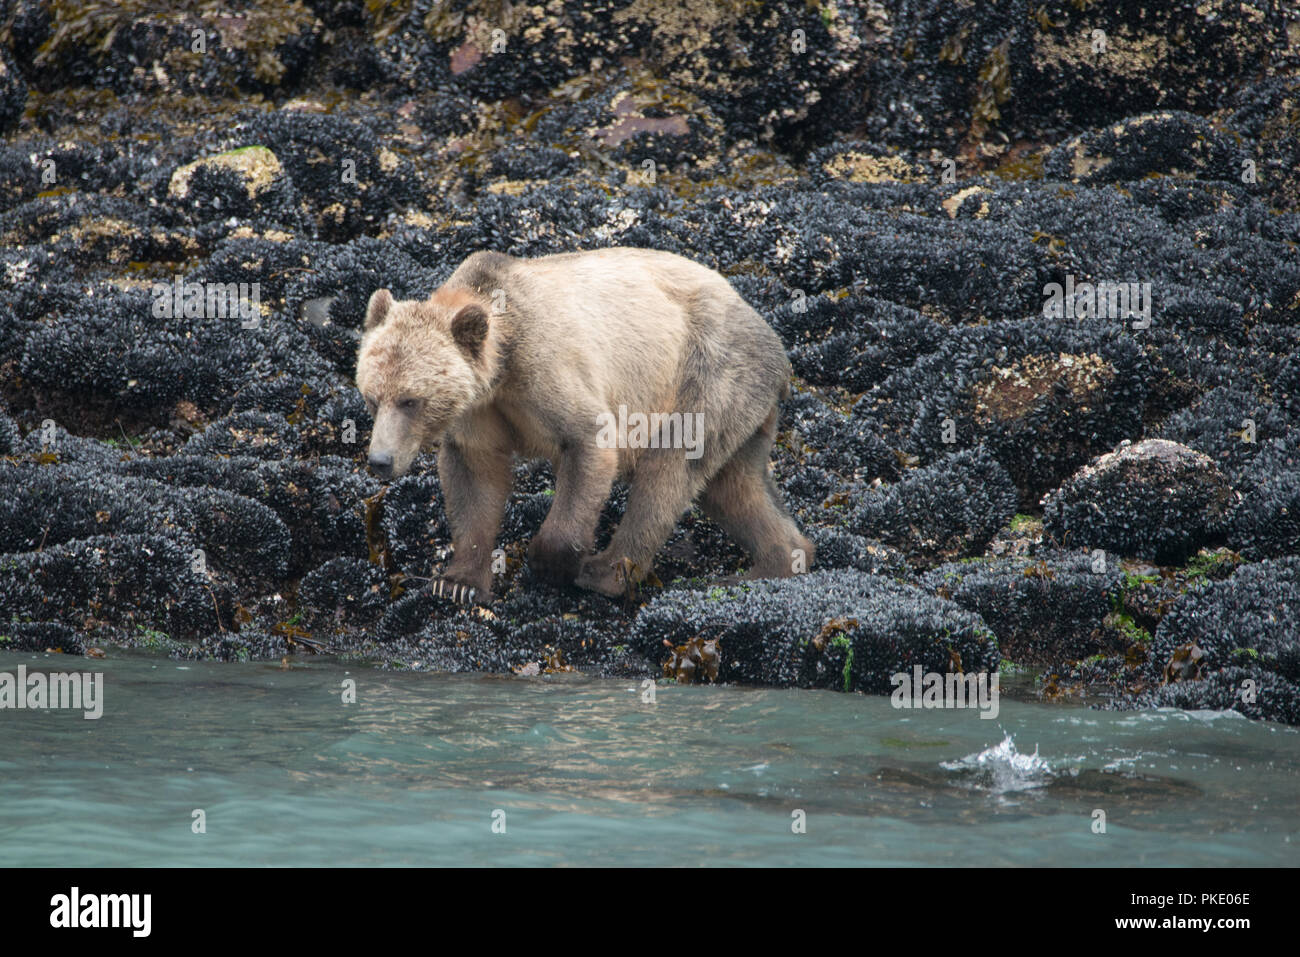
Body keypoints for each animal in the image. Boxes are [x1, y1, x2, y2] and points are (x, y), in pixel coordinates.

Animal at [355, 247, 813, 601]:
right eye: (371, 397)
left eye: (411, 400)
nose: (380, 460)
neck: (501, 365)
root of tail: (777, 346)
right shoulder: (477, 413)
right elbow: (474, 479)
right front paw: (458, 583)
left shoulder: (546, 369)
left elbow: (589, 441)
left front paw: (549, 560)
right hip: (743, 407)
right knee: (735, 487)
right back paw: (781, 559)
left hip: (706, 372)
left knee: (669, 471)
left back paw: (605, 571)